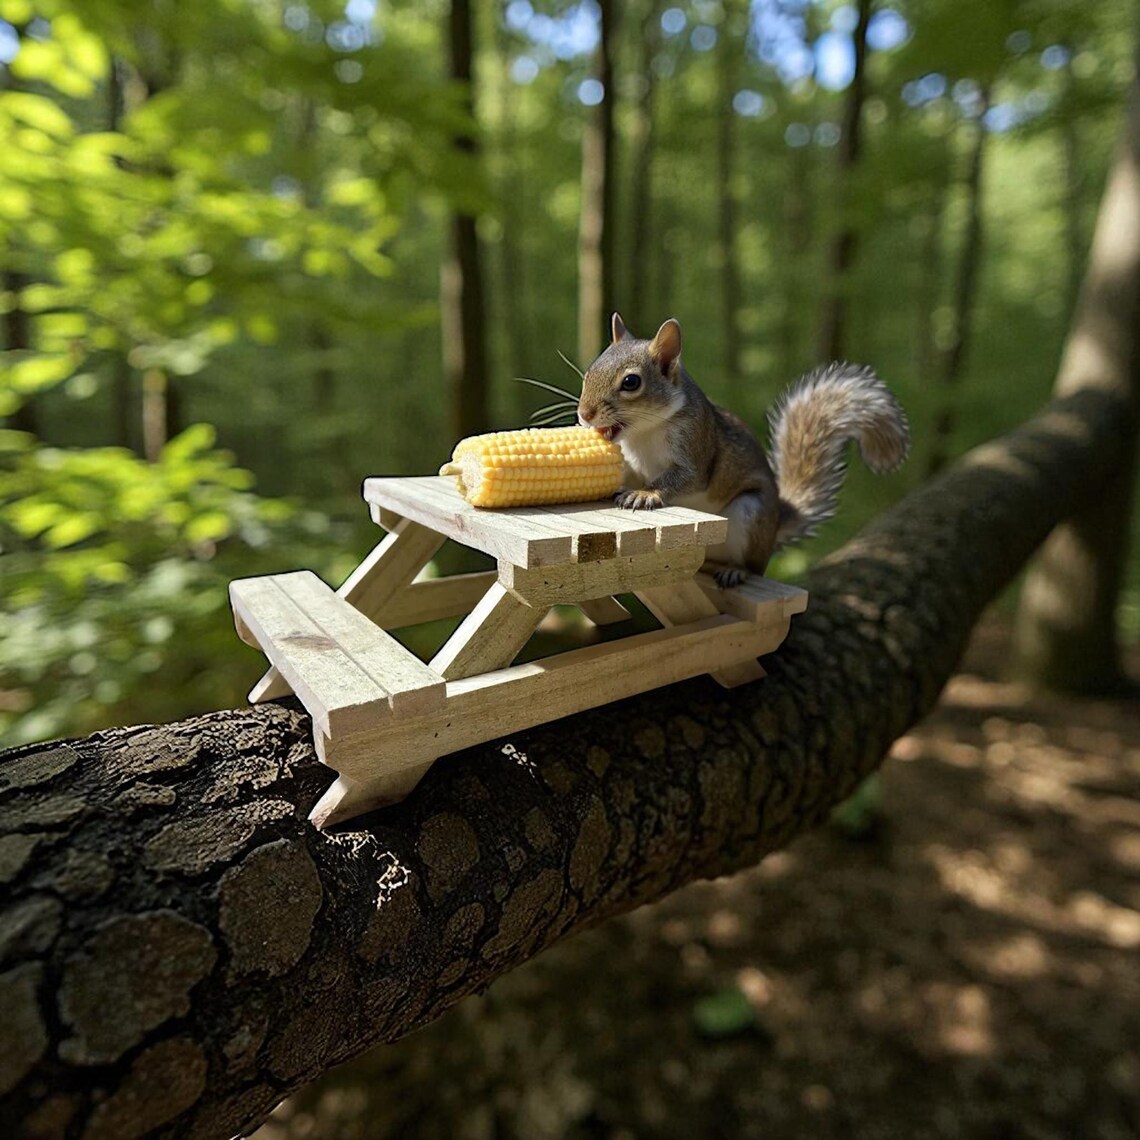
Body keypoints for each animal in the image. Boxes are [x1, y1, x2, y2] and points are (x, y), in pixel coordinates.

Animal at [576, 313, 910, 587]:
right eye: (589, 372)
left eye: (631, 382)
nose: (584, 414)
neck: (642, 434)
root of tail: (773, 530)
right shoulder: (631, 461)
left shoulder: (696, 446)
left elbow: (685, 477)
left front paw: (645, 494)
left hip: (750, 515)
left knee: (752, 566)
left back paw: (735, 571)